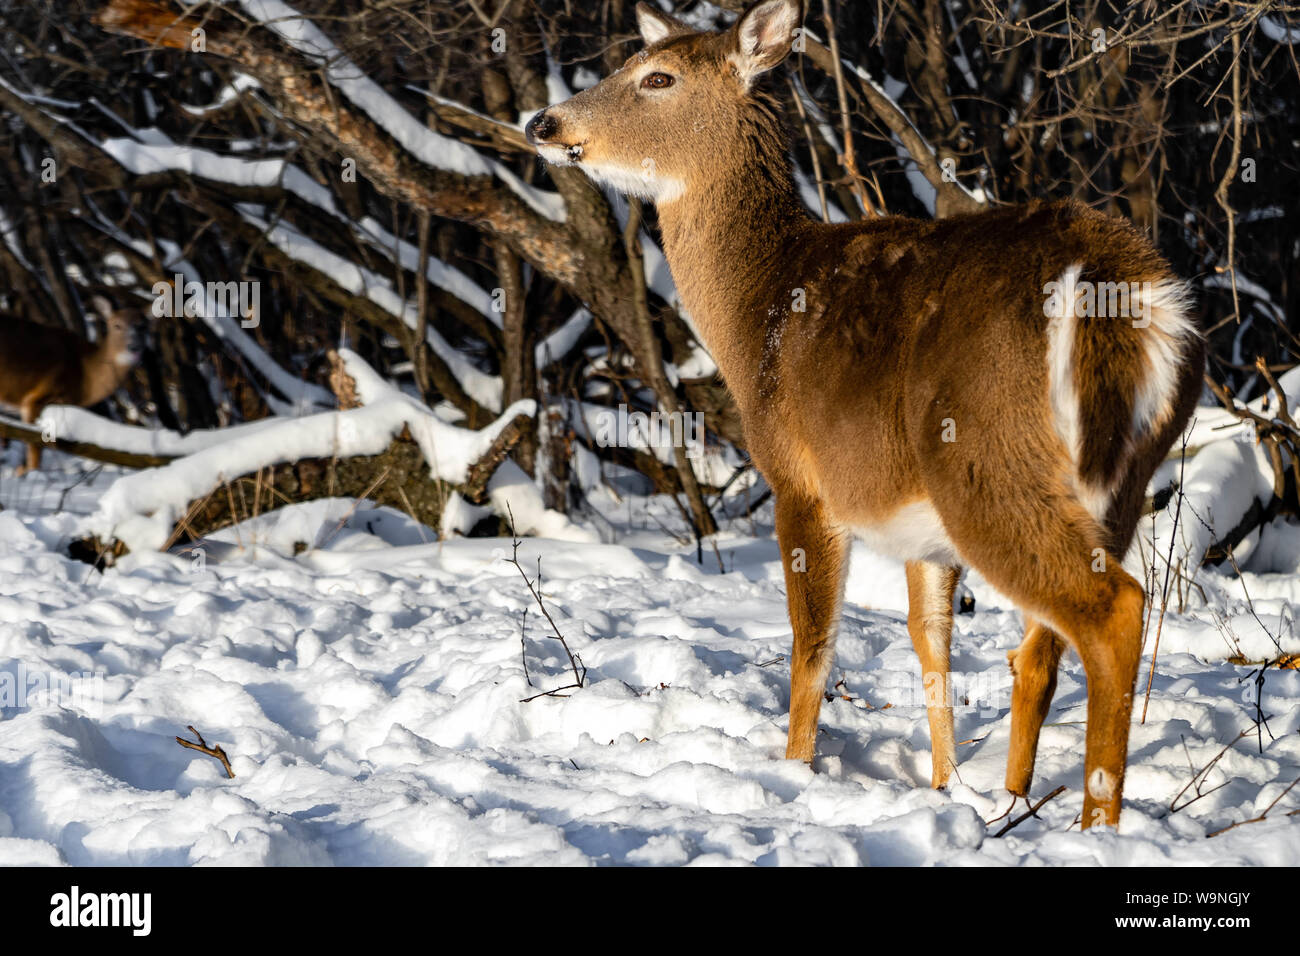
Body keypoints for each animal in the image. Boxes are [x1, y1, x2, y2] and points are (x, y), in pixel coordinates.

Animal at [0, 296, 141, 475]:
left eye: (143, 326)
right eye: (117, 325)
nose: (134, 347)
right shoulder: (36, 396)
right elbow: (35, 449)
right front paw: (30, 474)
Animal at [526, 0, 1204, 829]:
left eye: (657, 78)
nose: (545, 123)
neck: (756, 313)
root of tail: (1118, 291)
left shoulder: (800, 477)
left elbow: (813, 643)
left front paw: (795, 772)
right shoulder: (919, 528)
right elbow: (931, 643)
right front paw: (948, 787)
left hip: (983, 460)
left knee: (1111, 611)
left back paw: (1094, 825)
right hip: (1114, 481)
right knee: (1042, 650)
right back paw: (1015, 803)